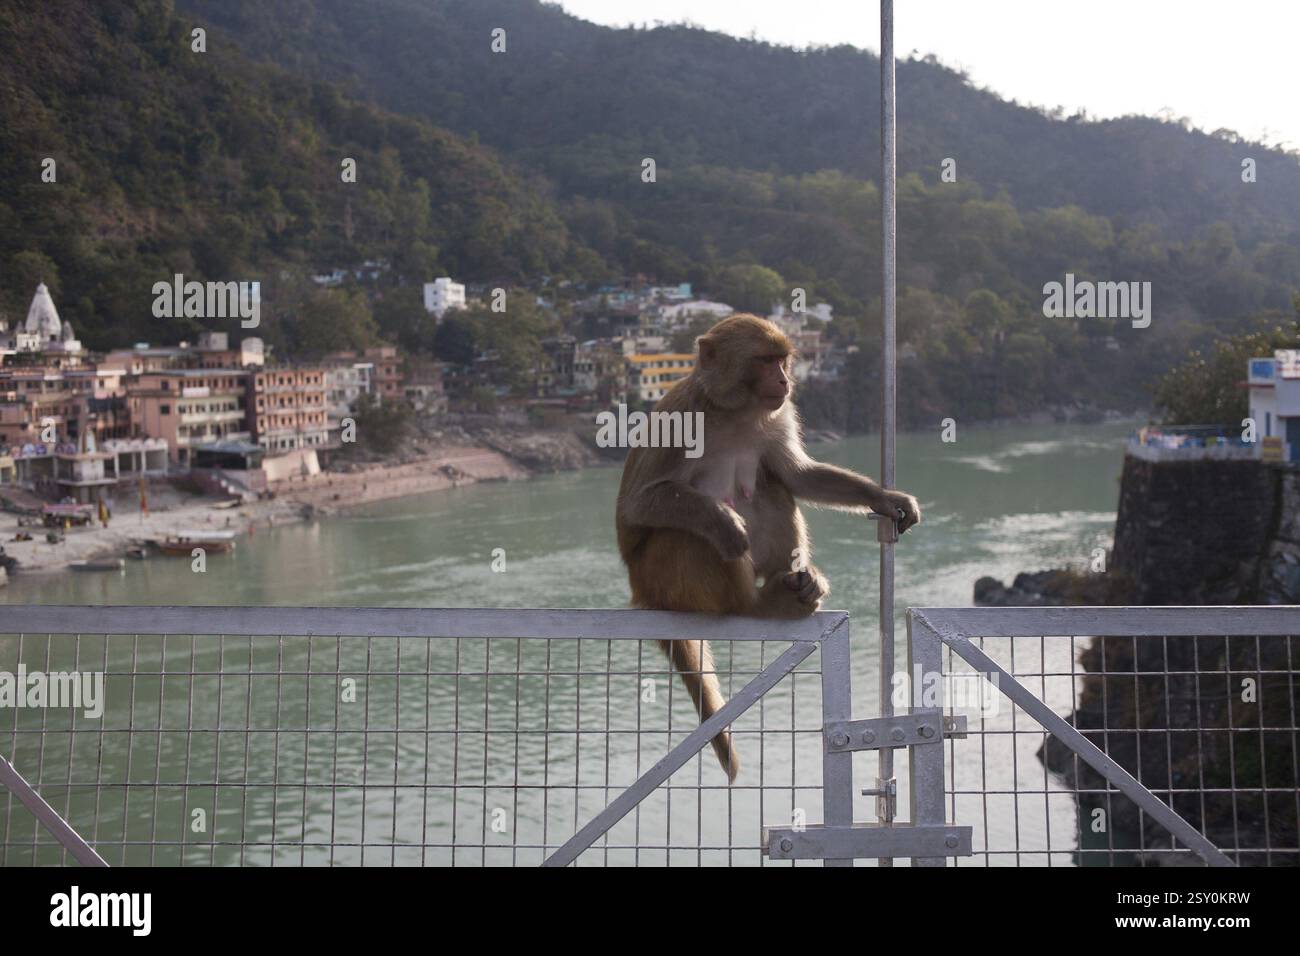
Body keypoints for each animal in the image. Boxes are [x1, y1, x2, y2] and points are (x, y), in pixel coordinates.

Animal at [615, 313, 921, 782]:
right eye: (764, 360)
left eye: (782, 360)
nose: (784, 379)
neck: (734, 411)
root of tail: (642, 593)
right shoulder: (681, 416)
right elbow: (637, 505)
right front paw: (722, 522)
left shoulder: (778, 414)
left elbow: (797, 476)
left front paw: (885, 499)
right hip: (660, 576)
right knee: (685, 535)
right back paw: (757, 602)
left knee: (771, 486)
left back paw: (798, 581)